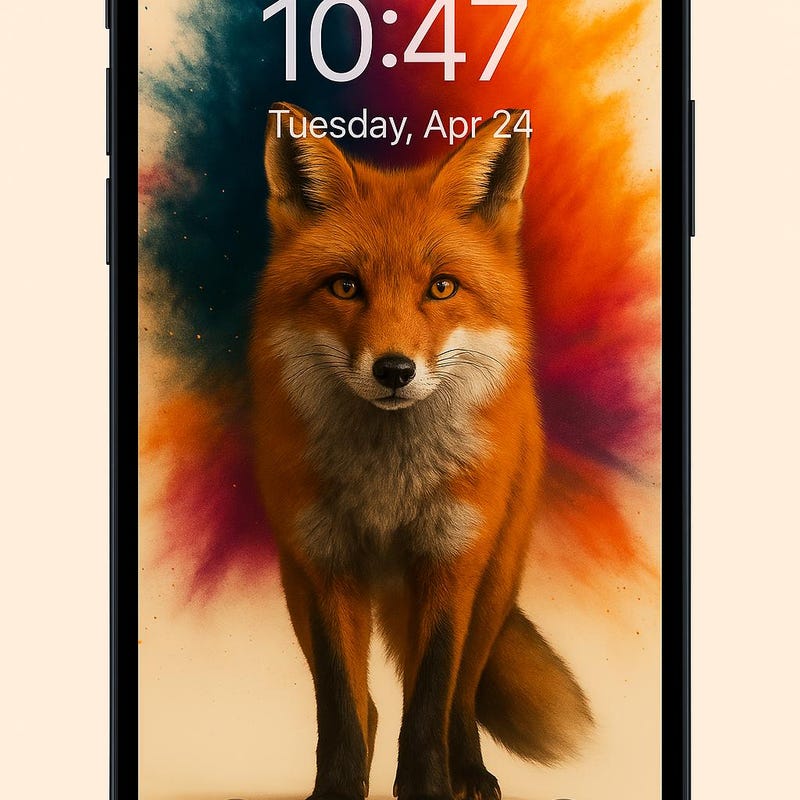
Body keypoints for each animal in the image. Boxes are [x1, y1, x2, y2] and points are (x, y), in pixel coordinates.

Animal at [249, 102, 592, 800]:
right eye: (345, 287)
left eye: (441, 288)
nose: (393, 370)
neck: (388, 487)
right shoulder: (325, 565)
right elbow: (341, 708)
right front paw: (338, 790)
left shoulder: (449, 559)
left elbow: (431, 697)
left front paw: (430, 786)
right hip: (296, 584)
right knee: (373, 707)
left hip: (493, 584)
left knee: (459, 698)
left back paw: (472, 773)